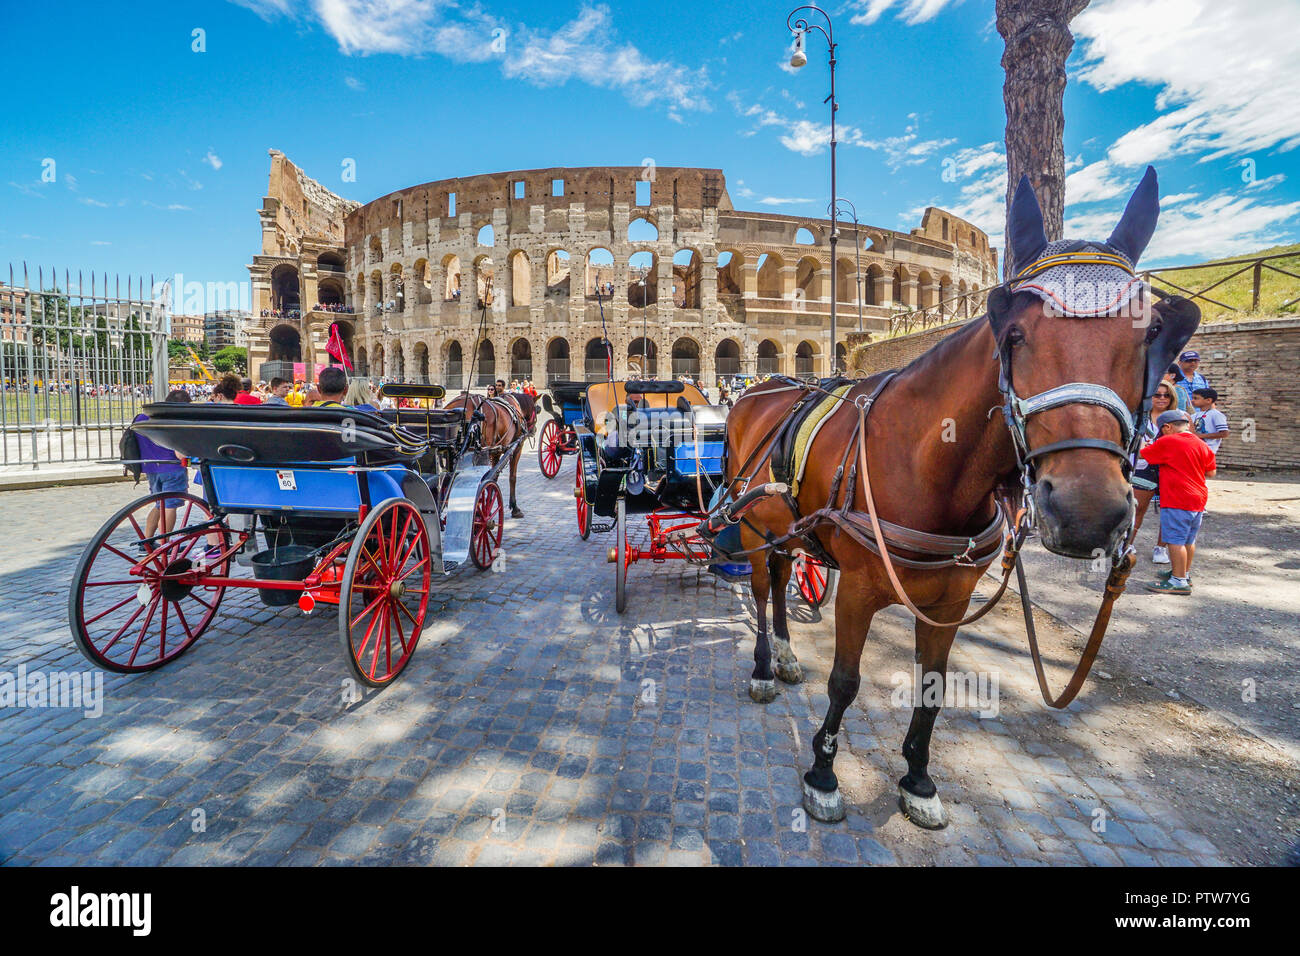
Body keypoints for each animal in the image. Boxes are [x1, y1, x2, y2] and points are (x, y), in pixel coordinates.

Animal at [445, 389, 537, 518]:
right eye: (536, 410)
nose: (534, 430)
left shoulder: (495, 452)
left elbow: (494, 477)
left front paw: (489, 500)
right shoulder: (517, 448)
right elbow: (512, 477)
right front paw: (514, 507)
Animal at [723, 167, 1200, 828]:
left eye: (1150, 336)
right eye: (1015, 334)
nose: (1085, 511)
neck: (927, 465)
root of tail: (759, 387)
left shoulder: (951, 600)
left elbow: (934, 687)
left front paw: (919, 781)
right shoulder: (860, 590)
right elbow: (845, 681)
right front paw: (823, 774)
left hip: (789, 527)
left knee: (782, 570)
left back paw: (790, 656)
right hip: (749, 523)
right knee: (764, 585)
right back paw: (767, 667)